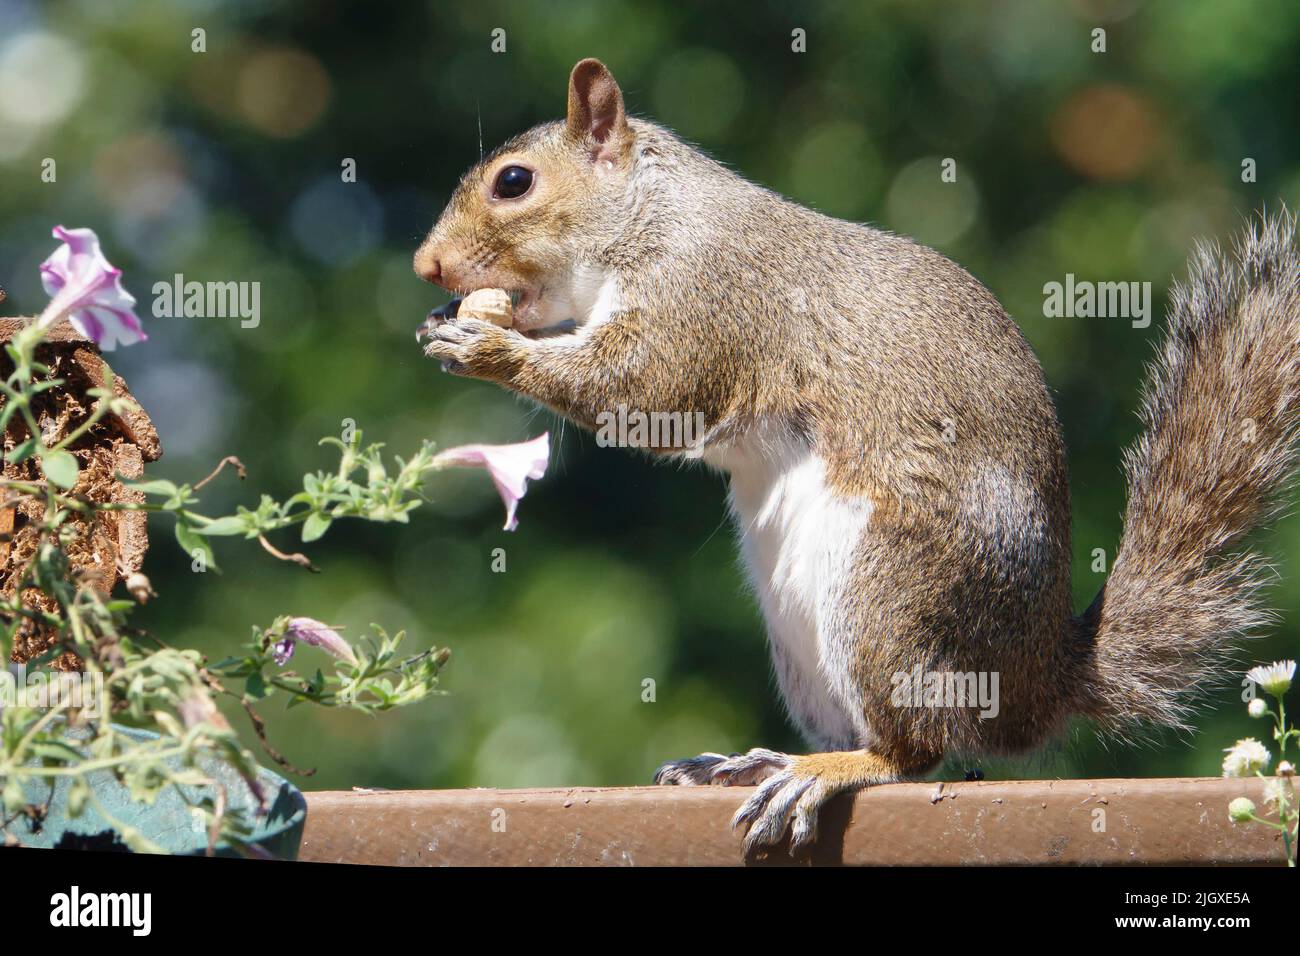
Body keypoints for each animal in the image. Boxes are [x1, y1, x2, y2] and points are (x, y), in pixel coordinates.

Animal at [415, 58, 1300, 854]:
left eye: (514, 182)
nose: (428, 266)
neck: (653, 212)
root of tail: (1039, 682)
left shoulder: (707, 298)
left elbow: (645, 390)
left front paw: (489, 346)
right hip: (803, 643)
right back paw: (753, 762)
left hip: (890, 595)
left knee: (917, 751)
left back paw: (824, 773)